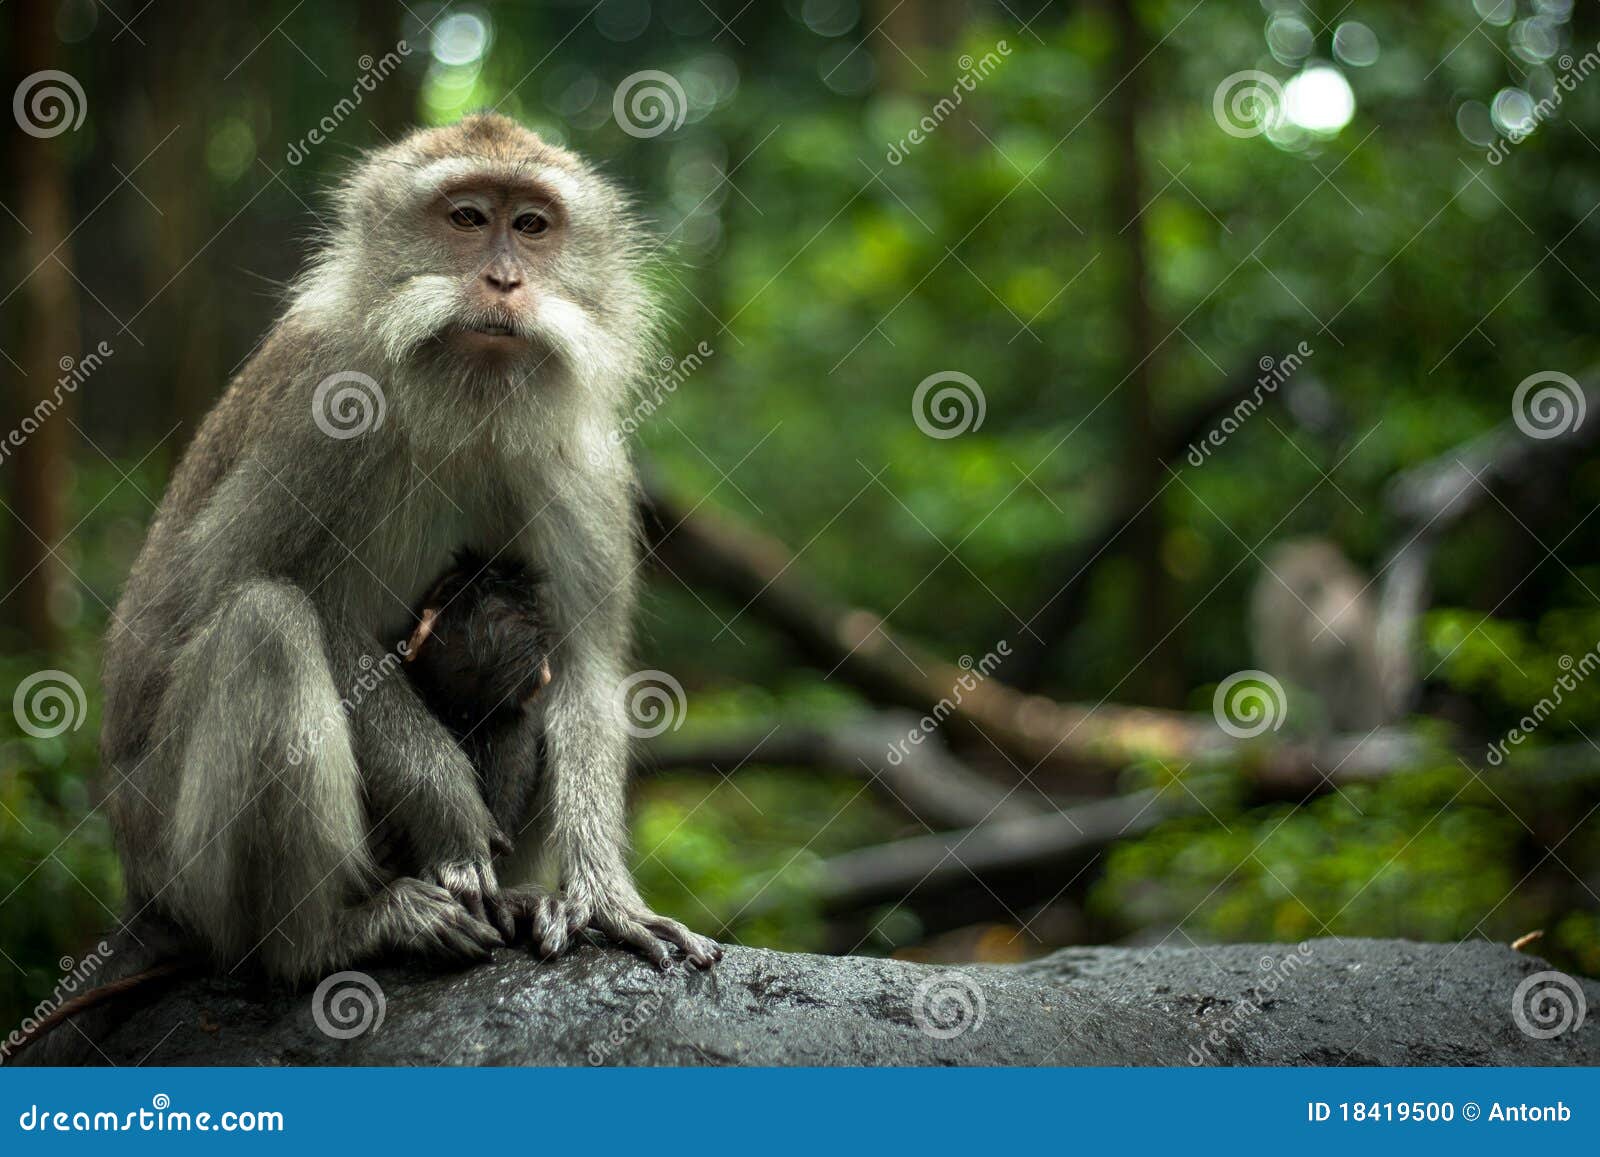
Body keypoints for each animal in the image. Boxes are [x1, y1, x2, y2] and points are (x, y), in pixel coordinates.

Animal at [100, 113, 722, 988]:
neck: (462, 400)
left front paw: (606, 897)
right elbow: (235, 591)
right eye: (466, 218)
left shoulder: (585, 456)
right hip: (175, 862)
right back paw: (322, 939)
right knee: (263, 625)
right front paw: (449, 809)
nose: (504, 280)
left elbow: (585, 660)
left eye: (532, 225)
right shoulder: (318, 413)